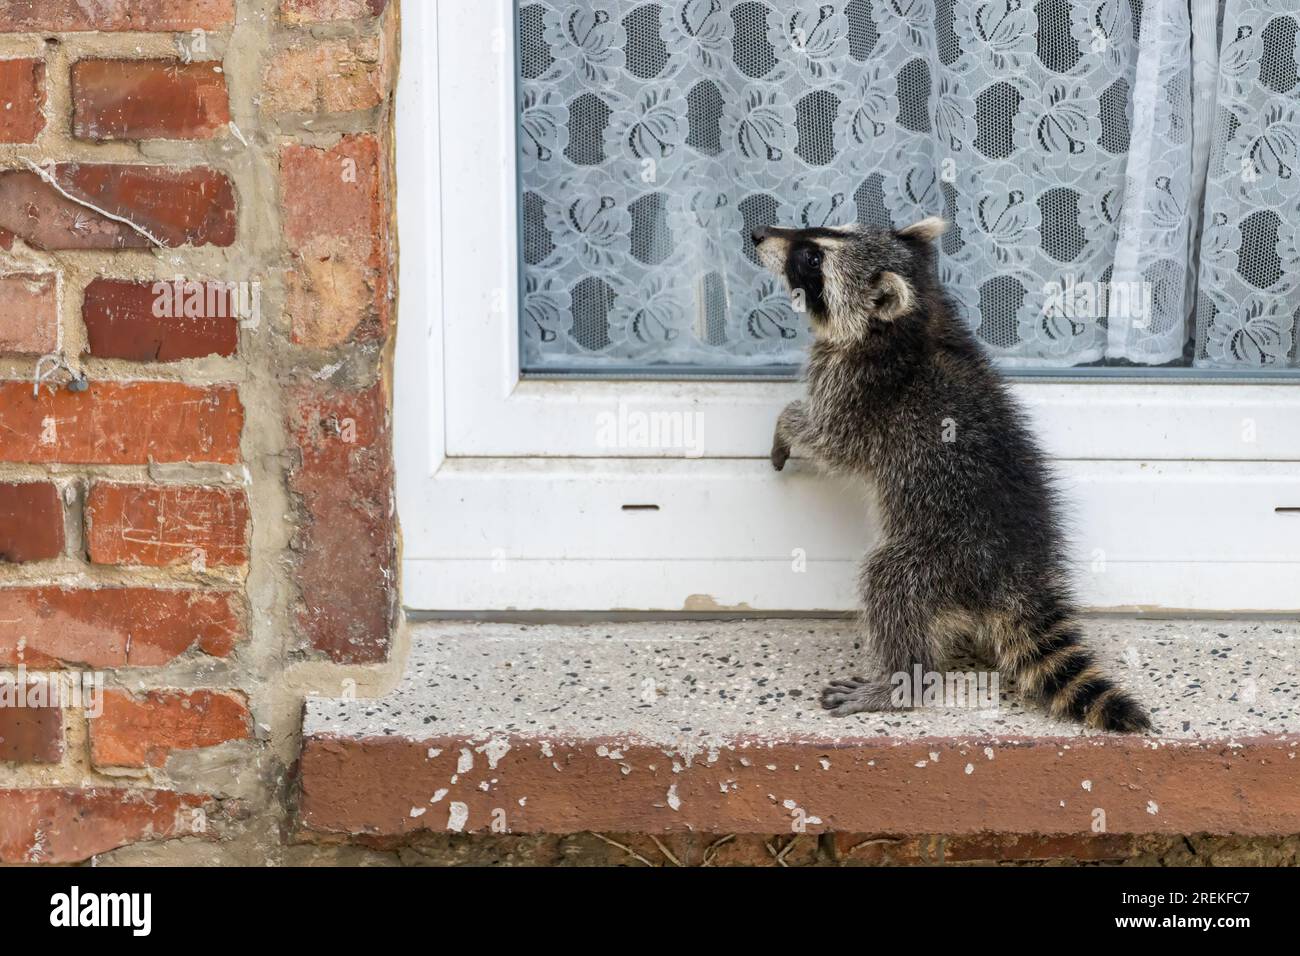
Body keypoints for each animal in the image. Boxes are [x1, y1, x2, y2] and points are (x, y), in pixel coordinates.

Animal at [753, 217, 1150, 733]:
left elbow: (831, 442)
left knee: (890, 583)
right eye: (823, 229)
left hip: (939, 558)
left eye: (813, 258)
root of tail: (1018, 568)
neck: (916, 319)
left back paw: (899, 682)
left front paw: (787, 425)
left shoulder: (856, 393)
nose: (758, 235)